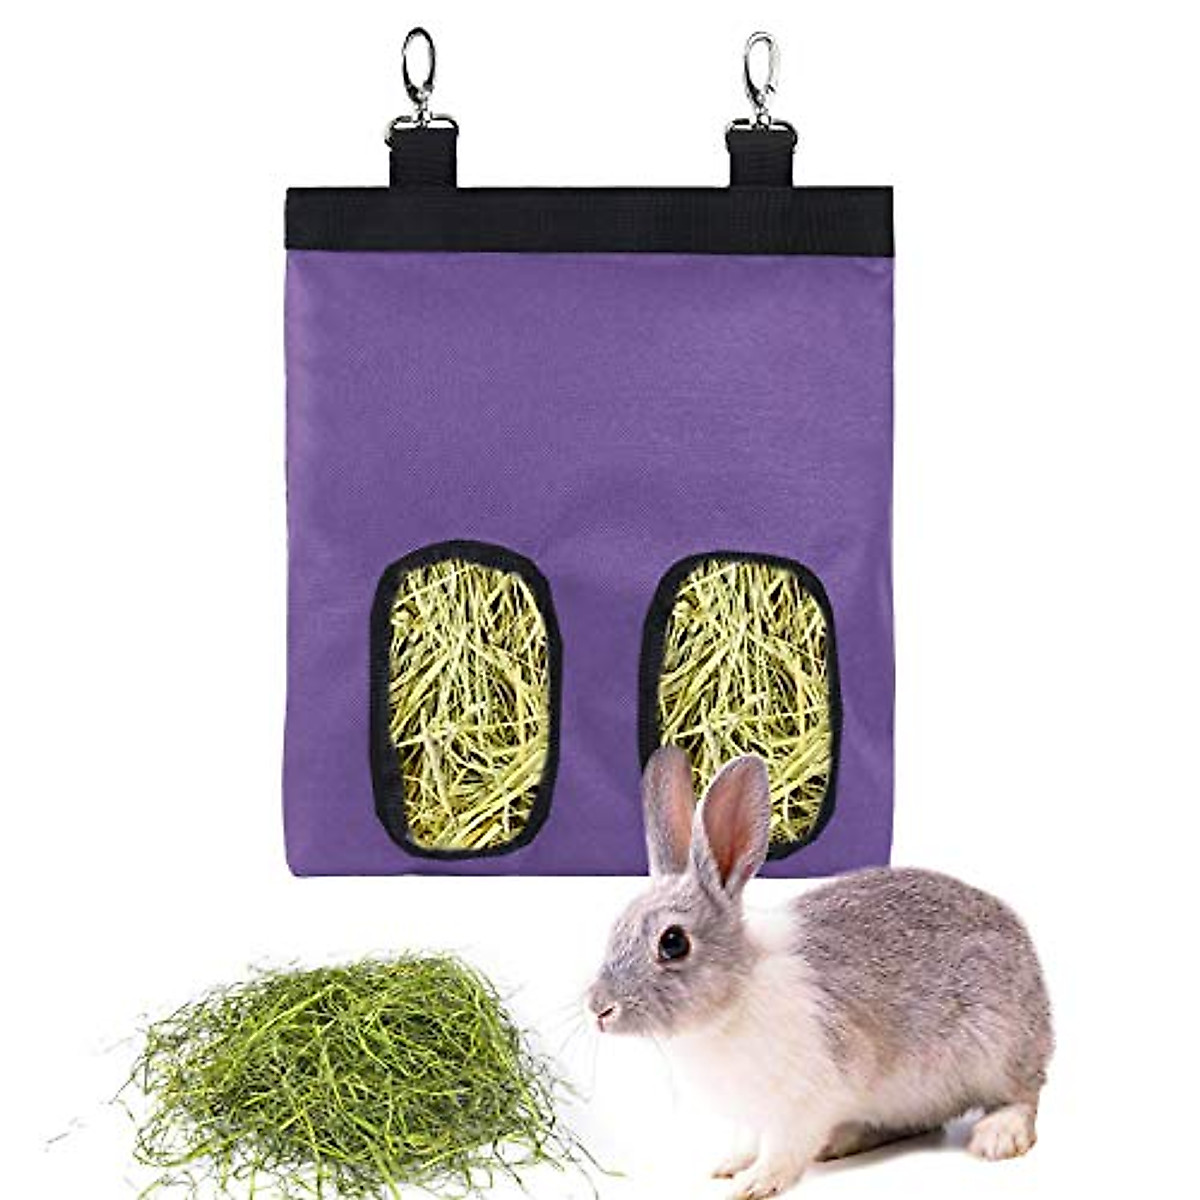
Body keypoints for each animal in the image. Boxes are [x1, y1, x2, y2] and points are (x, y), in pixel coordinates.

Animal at [585, 746, 1052, 1198]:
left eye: (673, 942)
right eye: (616, 927)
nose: (598, 1009)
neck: (736, 993)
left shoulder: (803, 1101)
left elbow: (784, 1149)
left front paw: (755, 1183)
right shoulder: (751, 1115)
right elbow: (747, 1141)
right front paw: (728, 1166)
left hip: (997, 1052)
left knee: (1024, 1097)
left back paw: (997, 1137)